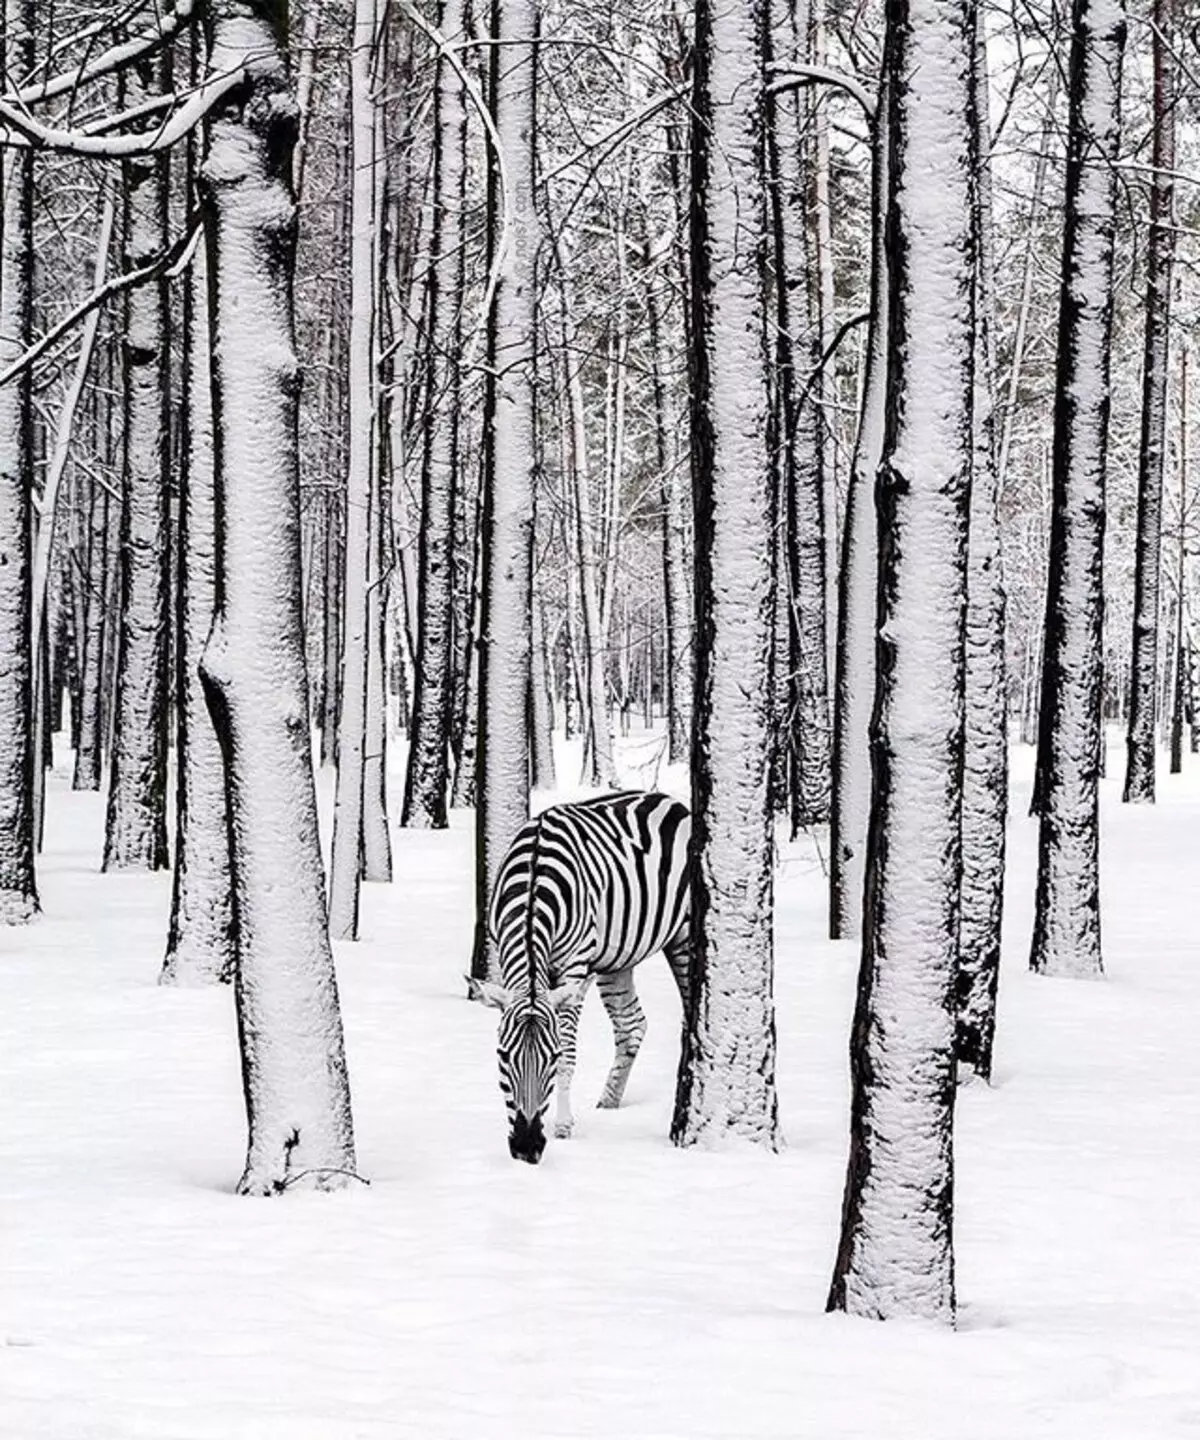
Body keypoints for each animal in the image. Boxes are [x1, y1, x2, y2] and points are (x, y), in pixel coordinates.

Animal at [466, 794, 691, 1163]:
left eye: (552, 1057)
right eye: (502, 1055)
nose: (527, 1147)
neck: (534, 879)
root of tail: (668, 800)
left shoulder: (574, 964)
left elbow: (570, 1053)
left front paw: (563, 1126)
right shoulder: (504, 949)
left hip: (683, 936)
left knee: (690, 1011)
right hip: (616, 959)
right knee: (631, 1026)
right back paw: (608, 1103)